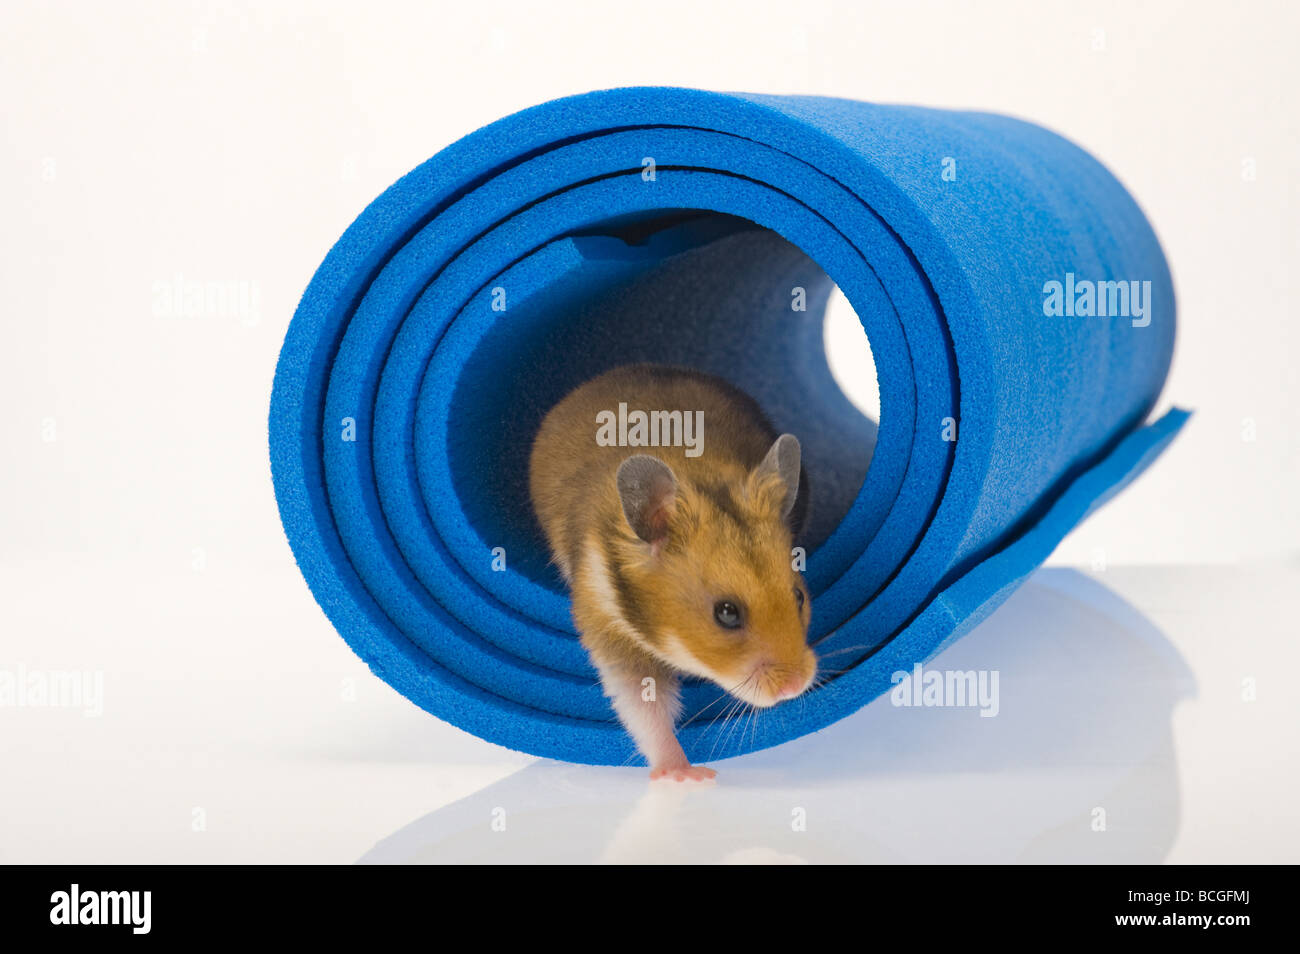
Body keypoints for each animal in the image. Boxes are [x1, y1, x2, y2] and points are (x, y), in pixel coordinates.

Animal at [529, 364, 816, 782]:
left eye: (799, 596)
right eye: (726, 613)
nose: (794, 688)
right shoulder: (607, 625)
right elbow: (644, 704)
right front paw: (688, 776)